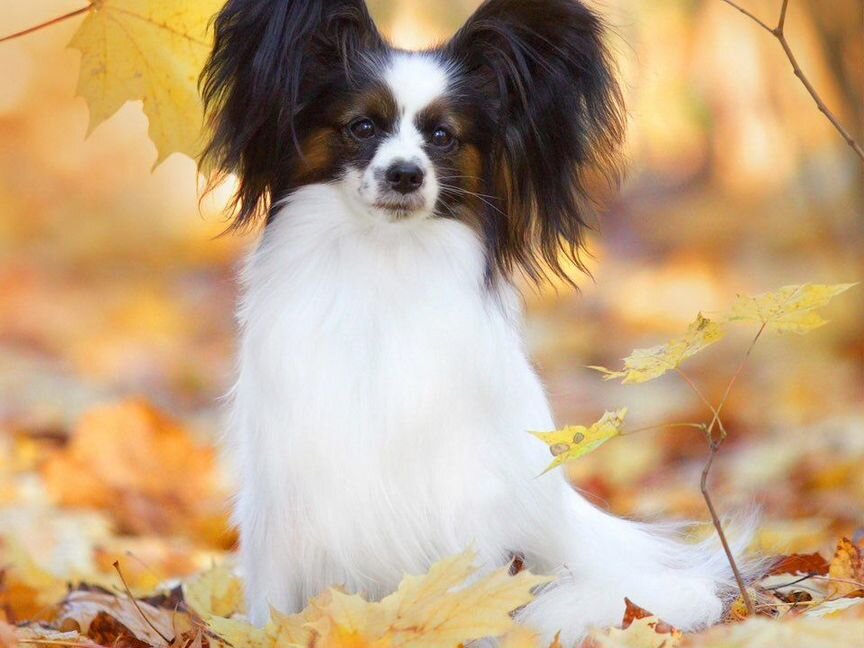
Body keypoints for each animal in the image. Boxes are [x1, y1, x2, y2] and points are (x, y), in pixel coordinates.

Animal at [199, 0, 752, 644]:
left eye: (442, 136)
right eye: (361, 127)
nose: (406, 174)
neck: (382, 261)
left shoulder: (460, 486)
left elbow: (469, 585)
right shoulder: (285, 482)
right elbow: (273, 596)